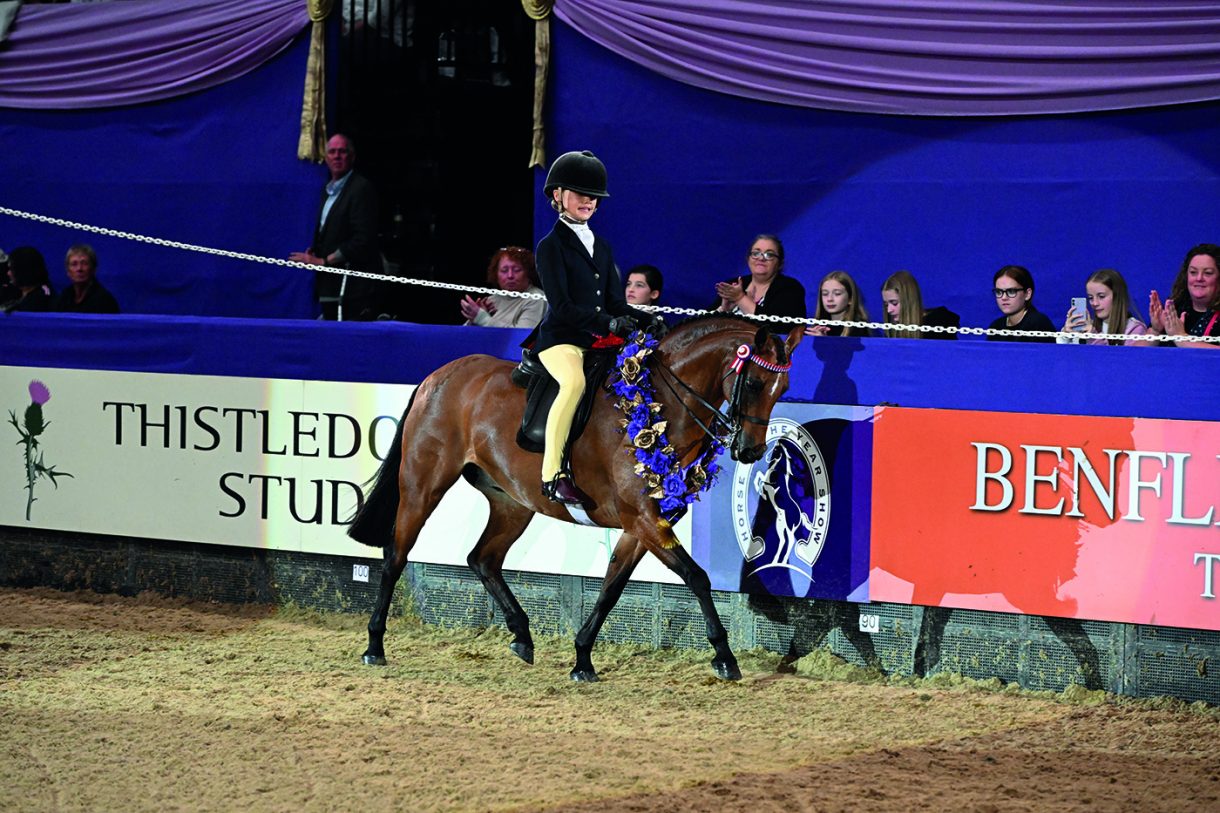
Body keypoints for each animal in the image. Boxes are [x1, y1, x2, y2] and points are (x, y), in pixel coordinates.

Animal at [348, 314, 804, 681]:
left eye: (782, 388)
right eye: (756, 382)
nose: (749, 451)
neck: (659, 406)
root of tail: (438, 376)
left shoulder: (644, 525)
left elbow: (612, 587)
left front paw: (582, 658)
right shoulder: (642, 519)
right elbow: (697, 577)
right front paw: (725, 657)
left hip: (512, 503)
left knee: (483, 559)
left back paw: (522, 635)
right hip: (423, 485)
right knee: (395, 557)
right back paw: (374, 646)